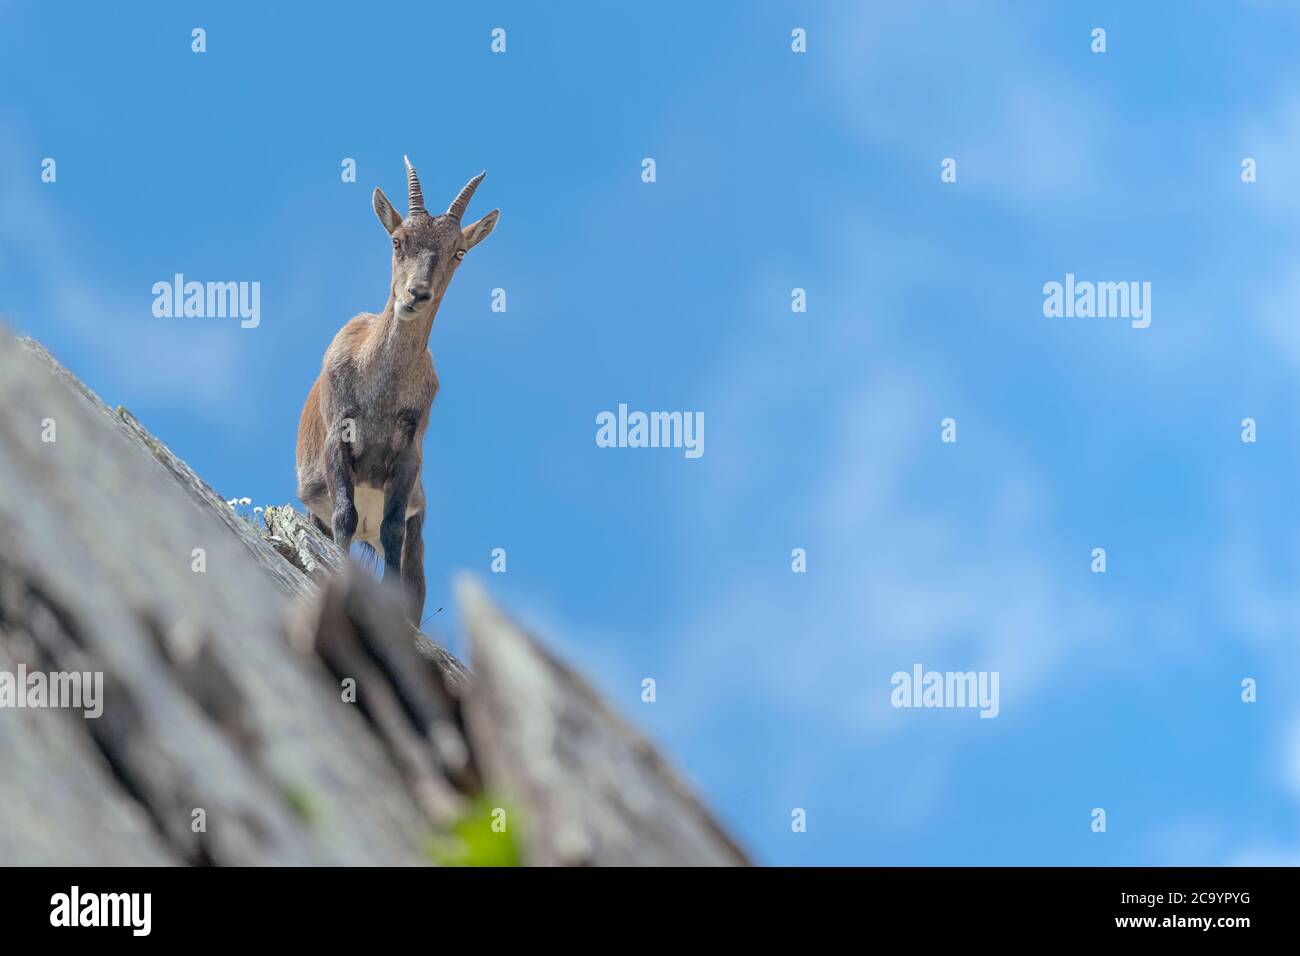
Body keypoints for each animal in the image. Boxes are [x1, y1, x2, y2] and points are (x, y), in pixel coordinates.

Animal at [296, 156, 498, 624]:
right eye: (397, 240)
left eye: (459, 251)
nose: (416, 295)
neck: (381, 391)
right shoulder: (338, 437)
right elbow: (345, 514)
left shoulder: (408, 457)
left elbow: (390, 530)